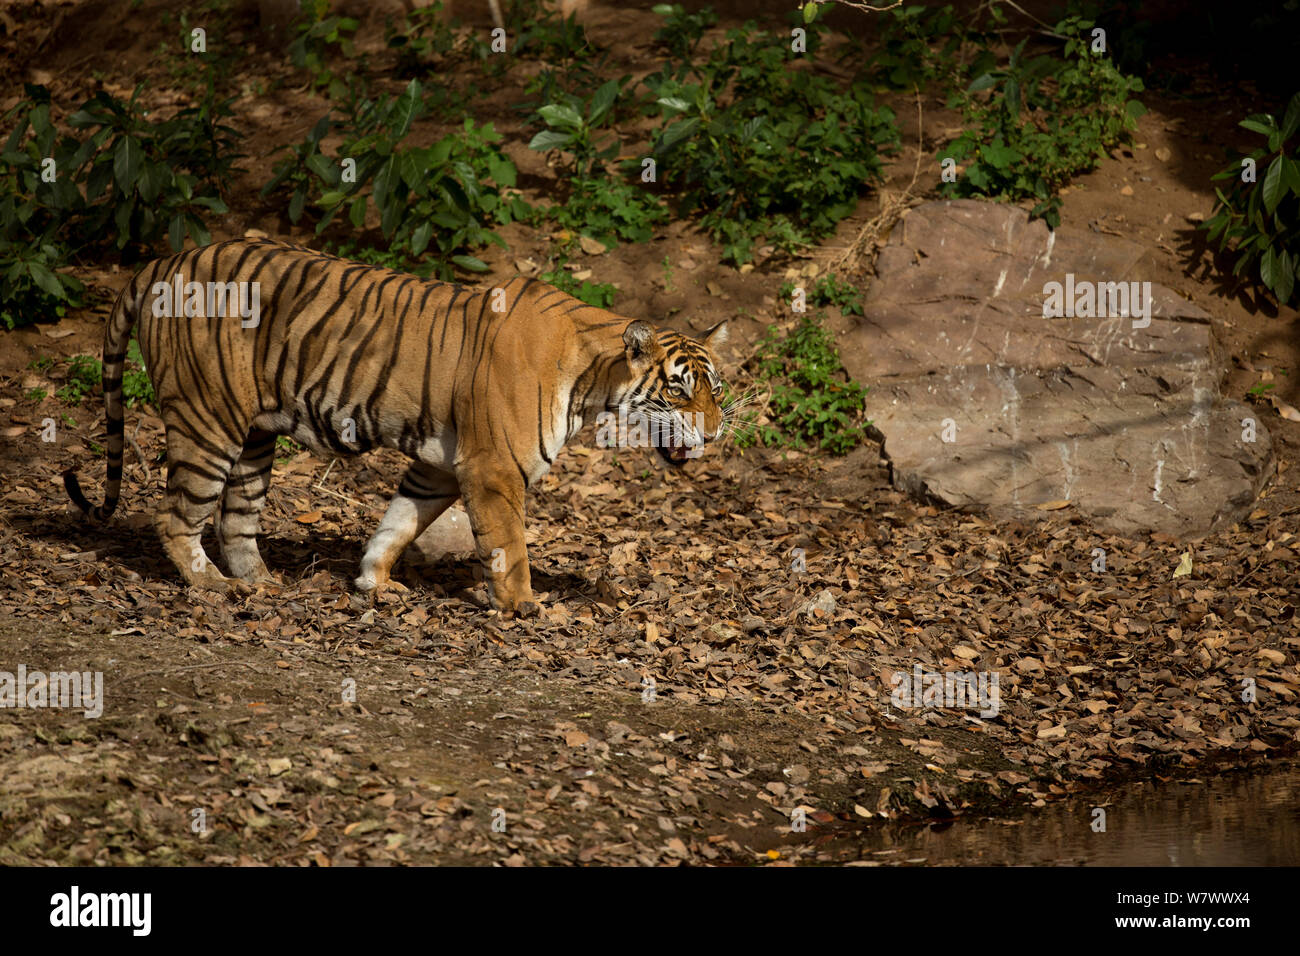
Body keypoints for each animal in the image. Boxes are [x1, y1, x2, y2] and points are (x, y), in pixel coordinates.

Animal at [64, 238, 730, 617]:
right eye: (678, 390)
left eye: (716, 390)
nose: (714, 433)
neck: (593, 378)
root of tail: (163, 259)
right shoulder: (493, 468)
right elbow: (509, 546)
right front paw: (525, 607)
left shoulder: (439, 465)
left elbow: (399, 522)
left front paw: (372, 583)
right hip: (209, 418)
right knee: (177, 516)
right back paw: (214, 589)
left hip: (253, 436)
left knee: (235, 519)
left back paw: (265, 585)